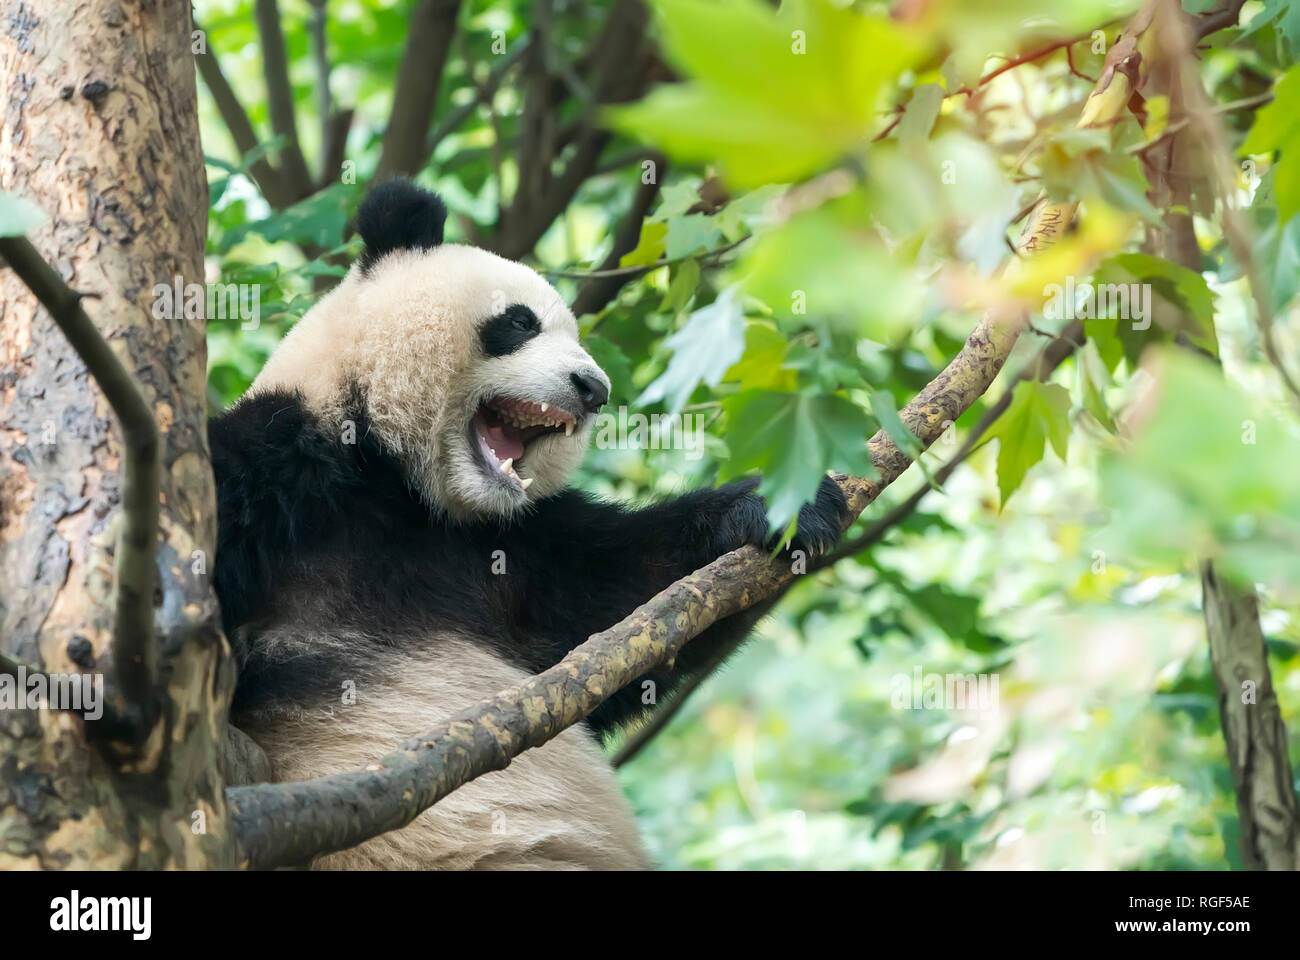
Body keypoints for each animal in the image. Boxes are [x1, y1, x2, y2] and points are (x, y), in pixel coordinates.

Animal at [209, 178, 849, 869]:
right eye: (519, 322)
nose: (593, 388)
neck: (397, 479)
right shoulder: (278, 466)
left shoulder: (503, 546)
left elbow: (616, 613)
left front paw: (782, 511)